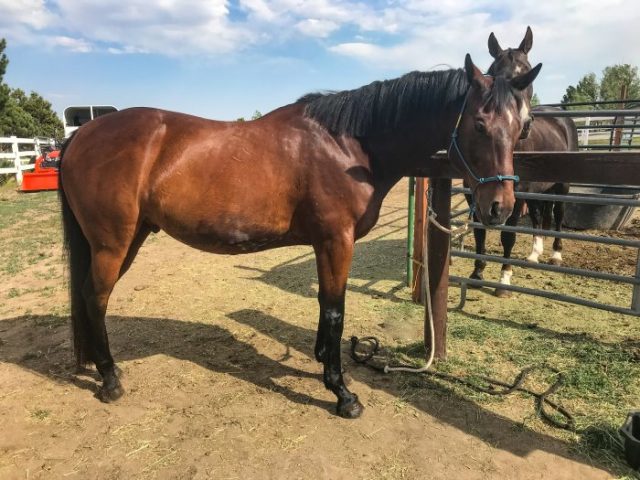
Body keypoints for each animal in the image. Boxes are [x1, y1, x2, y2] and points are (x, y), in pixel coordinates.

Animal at [58, 54, 540, 418]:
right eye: (479, 124)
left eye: (523, 127)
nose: (499, 207)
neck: (349, 145)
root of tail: (83, 133)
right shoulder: (335, 241)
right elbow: (335, 311)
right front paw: (342, 393)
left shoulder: (326, 244)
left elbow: (326, 309)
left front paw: (324, 364)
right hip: (112, 244)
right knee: (94, 298)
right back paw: (110, 379)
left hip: (131, 238)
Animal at [467, 27, 578, 297]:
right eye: (494, 72)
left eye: (527, 72)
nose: (525, 124)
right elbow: (479, 232)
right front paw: (477, 273)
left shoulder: (514, 198)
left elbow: (508, 236)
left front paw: (504, 279)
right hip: (538, 190)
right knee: (539, 216)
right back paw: (534, 253)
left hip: (562, 186)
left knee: (558, 215)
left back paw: (555, 254)